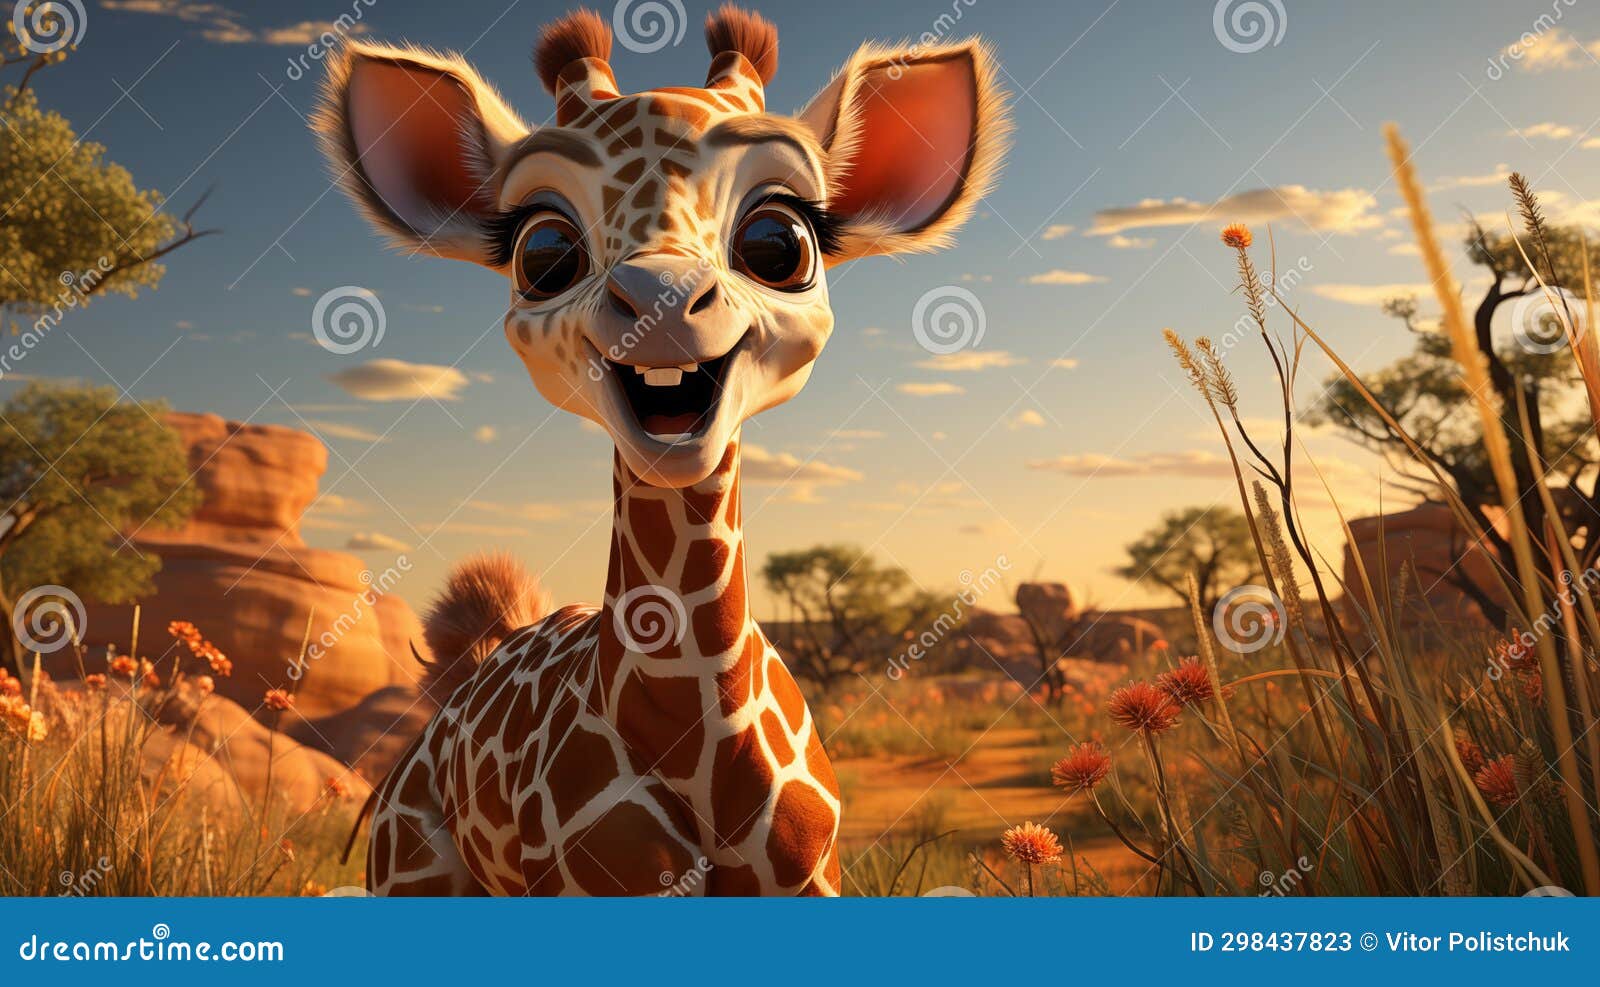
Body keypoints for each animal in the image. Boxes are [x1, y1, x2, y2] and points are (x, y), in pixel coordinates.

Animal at [315, 5, 1008, 895]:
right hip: (412, 866)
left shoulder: (809, 874)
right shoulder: (605, 882)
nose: (664, 302)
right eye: (543, 252)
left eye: (780, 241)